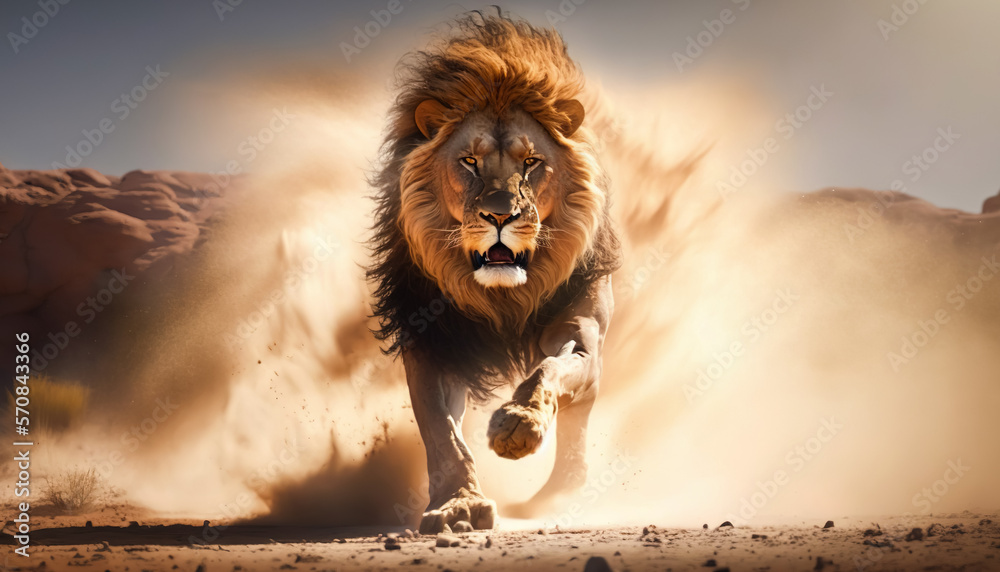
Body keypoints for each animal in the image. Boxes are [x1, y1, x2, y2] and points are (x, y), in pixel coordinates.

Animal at [367, 11, 621, 533]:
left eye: (532, 162)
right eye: (469, 161)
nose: (500, 215)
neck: (503, 298)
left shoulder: (581, 331)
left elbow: (550, 369)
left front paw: (519, 424)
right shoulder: (433, 342)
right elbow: (442, 434)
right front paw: (458, 504)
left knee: (578, 422)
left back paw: (560, 495)